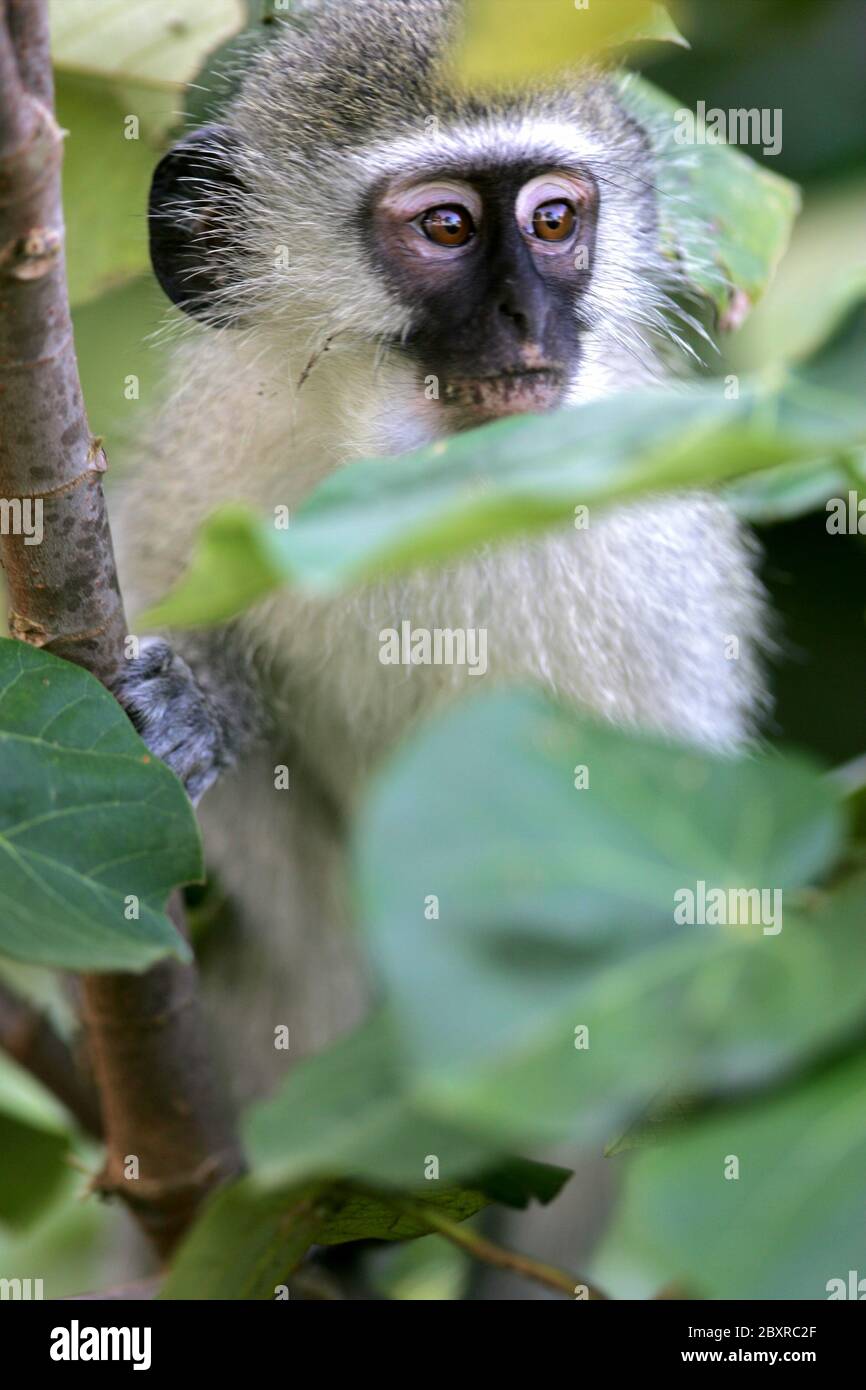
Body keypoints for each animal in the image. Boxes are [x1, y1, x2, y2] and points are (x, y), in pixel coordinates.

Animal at [110, 0, 769, 1107]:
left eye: (554, 221)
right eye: (447, 228)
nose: (525, 318)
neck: (409, 496)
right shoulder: (194, 476)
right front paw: (194, 706)